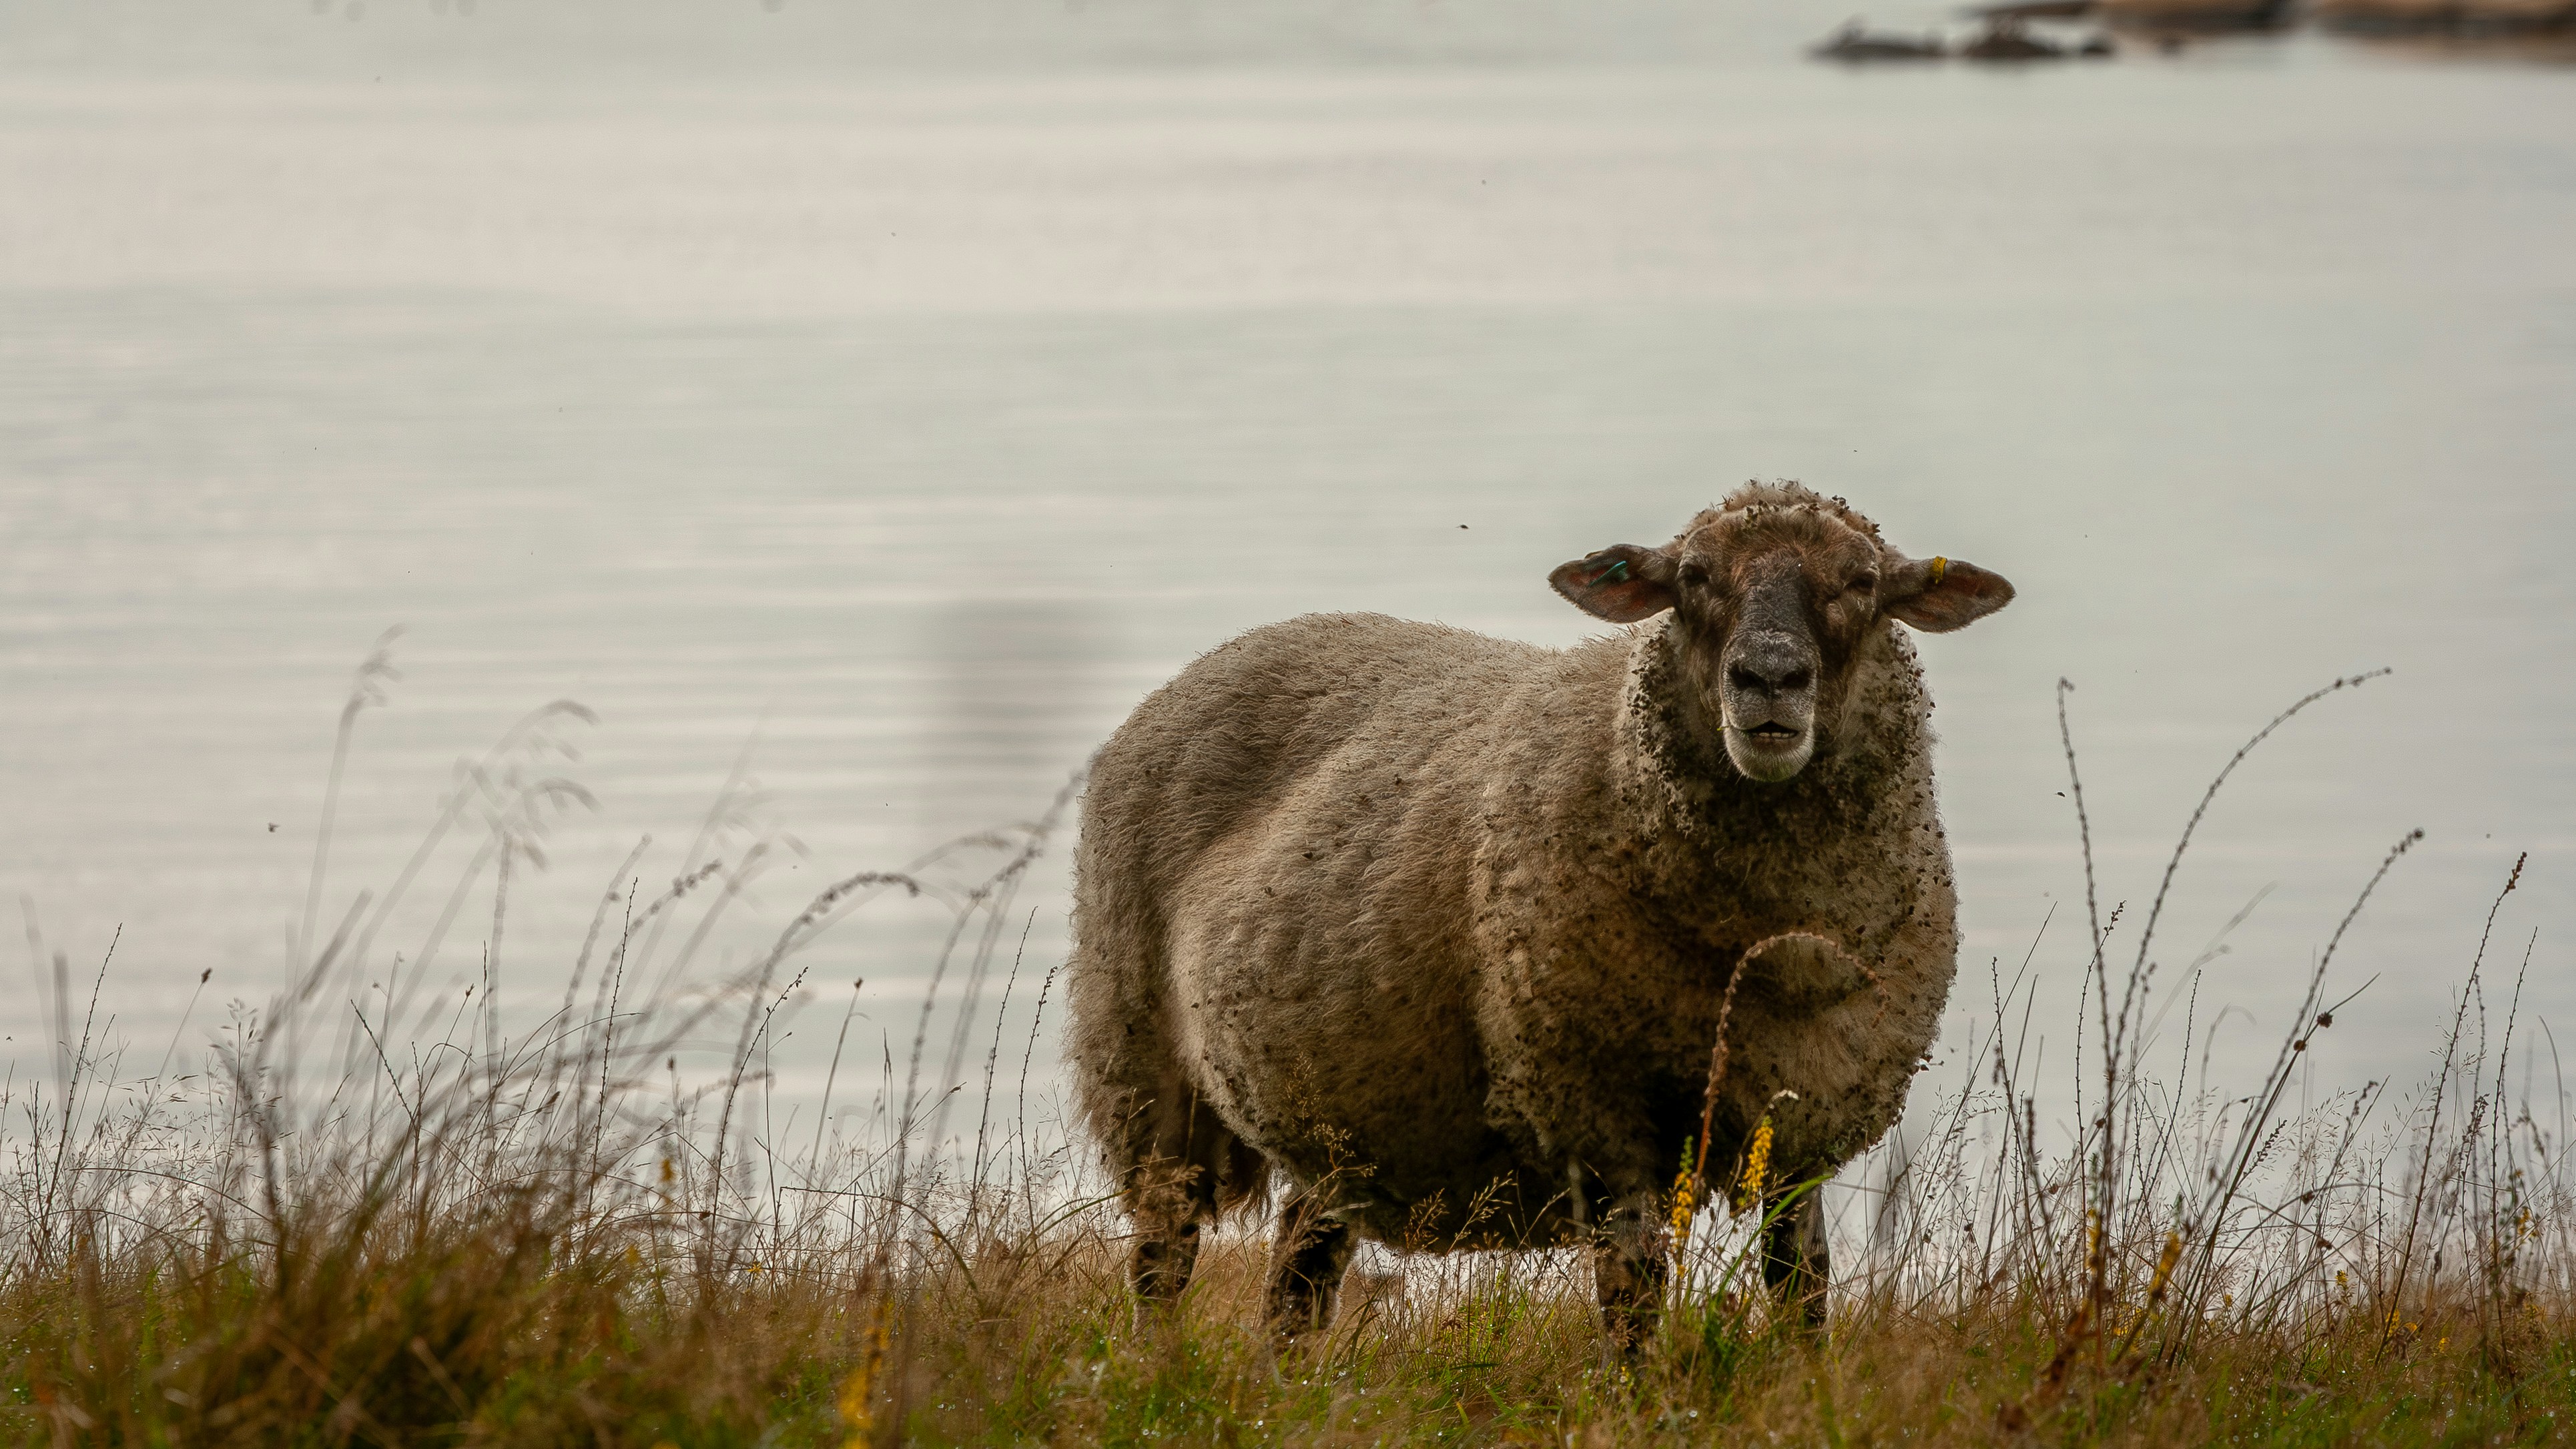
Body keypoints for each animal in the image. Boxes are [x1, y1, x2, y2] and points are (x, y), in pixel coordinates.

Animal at [1065, 481, 2014, 1346]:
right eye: (1692, 576)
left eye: (1862, 579)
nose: (1769, 679)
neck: (1764, 956)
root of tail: (1217, 654)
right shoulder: (1597, 1107)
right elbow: (1632, 1297)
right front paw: (1640, 1401)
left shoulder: (1803, 1123)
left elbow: (1801, 1285)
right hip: (1141, 1062)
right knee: (1160, 1260)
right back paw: (1155, 1374)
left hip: (1338, 1111)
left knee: (1299, 1266)